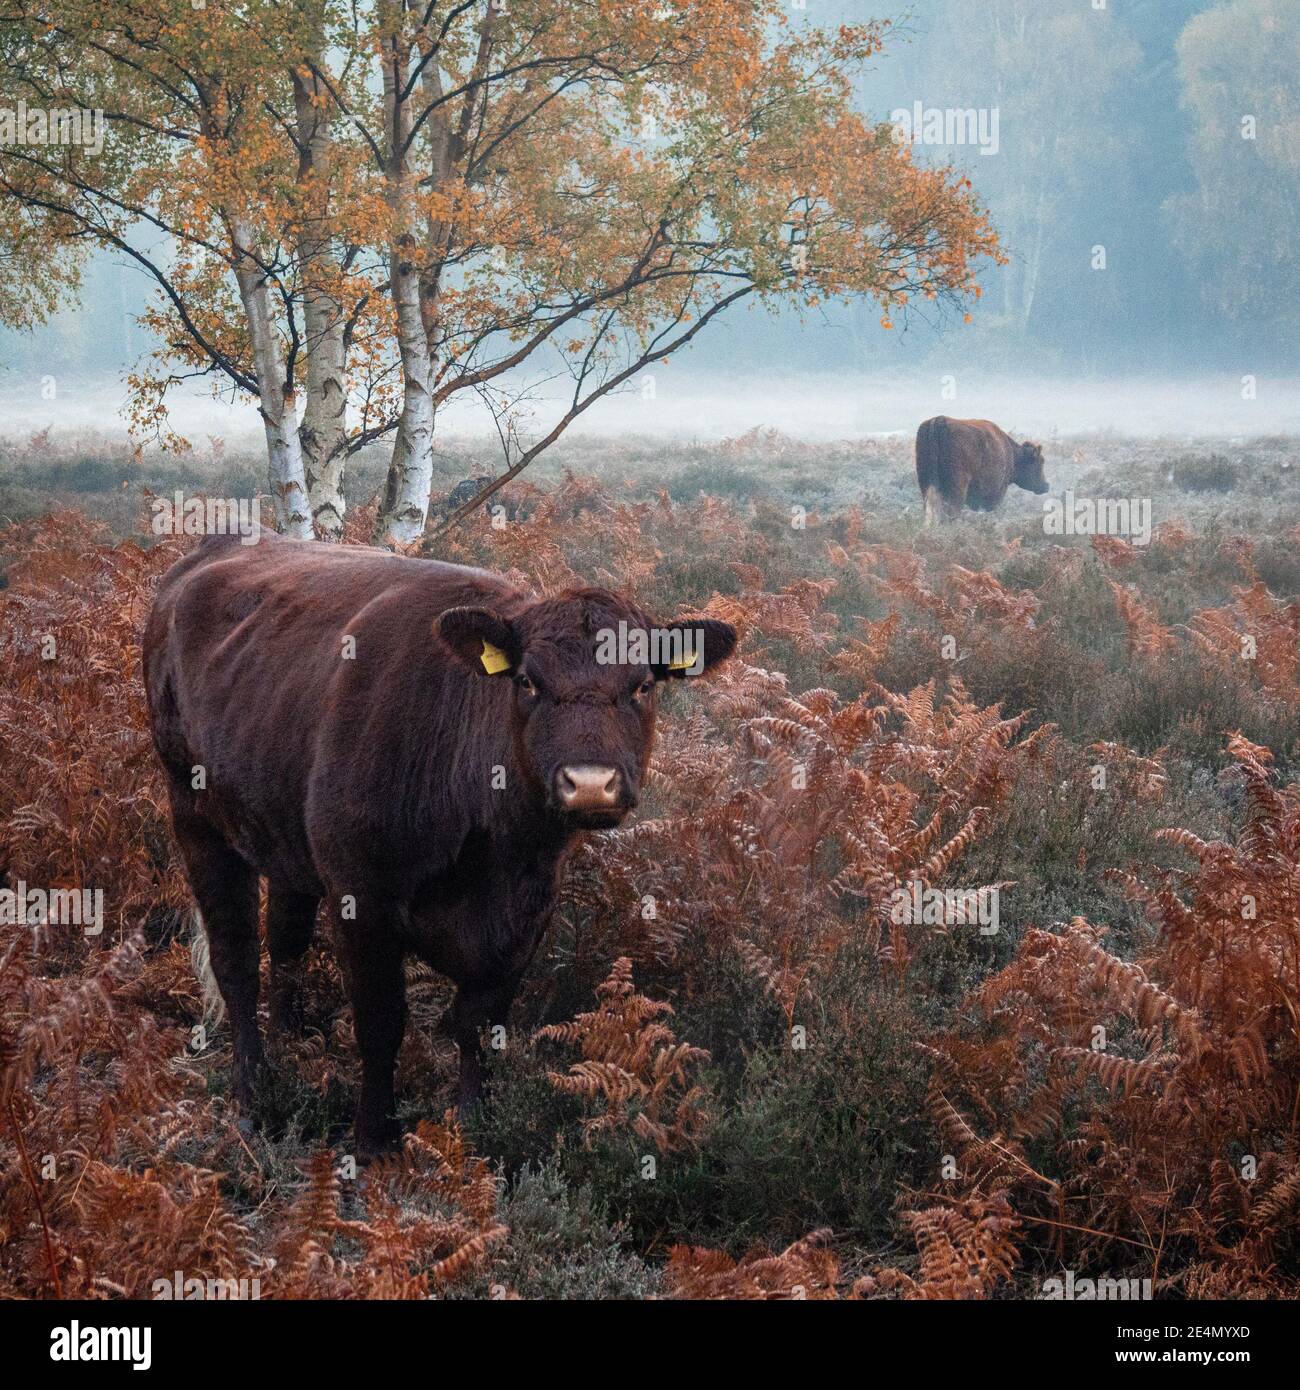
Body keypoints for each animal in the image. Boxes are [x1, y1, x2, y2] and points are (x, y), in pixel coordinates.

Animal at [143, 530, 735, 1157]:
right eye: (527, 681)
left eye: (643, 685)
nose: (590, 782)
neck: (489, 849)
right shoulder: (361, 897)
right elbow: (381, 1023)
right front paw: (374, 1141)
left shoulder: (526, 913)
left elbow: (480, 1021)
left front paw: (474, 1128)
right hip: (195, 815)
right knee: (235, 959)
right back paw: (252, 1094)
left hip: (282, 831)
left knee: (286, 941)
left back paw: (293, 1049)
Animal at [916, 416, 1049, 523]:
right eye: (1040, 461)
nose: (1046, 485)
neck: (1011, 452)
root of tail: (939, 420)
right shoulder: (996, 495)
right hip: (957, 487)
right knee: (951, 512)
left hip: (925, 482)